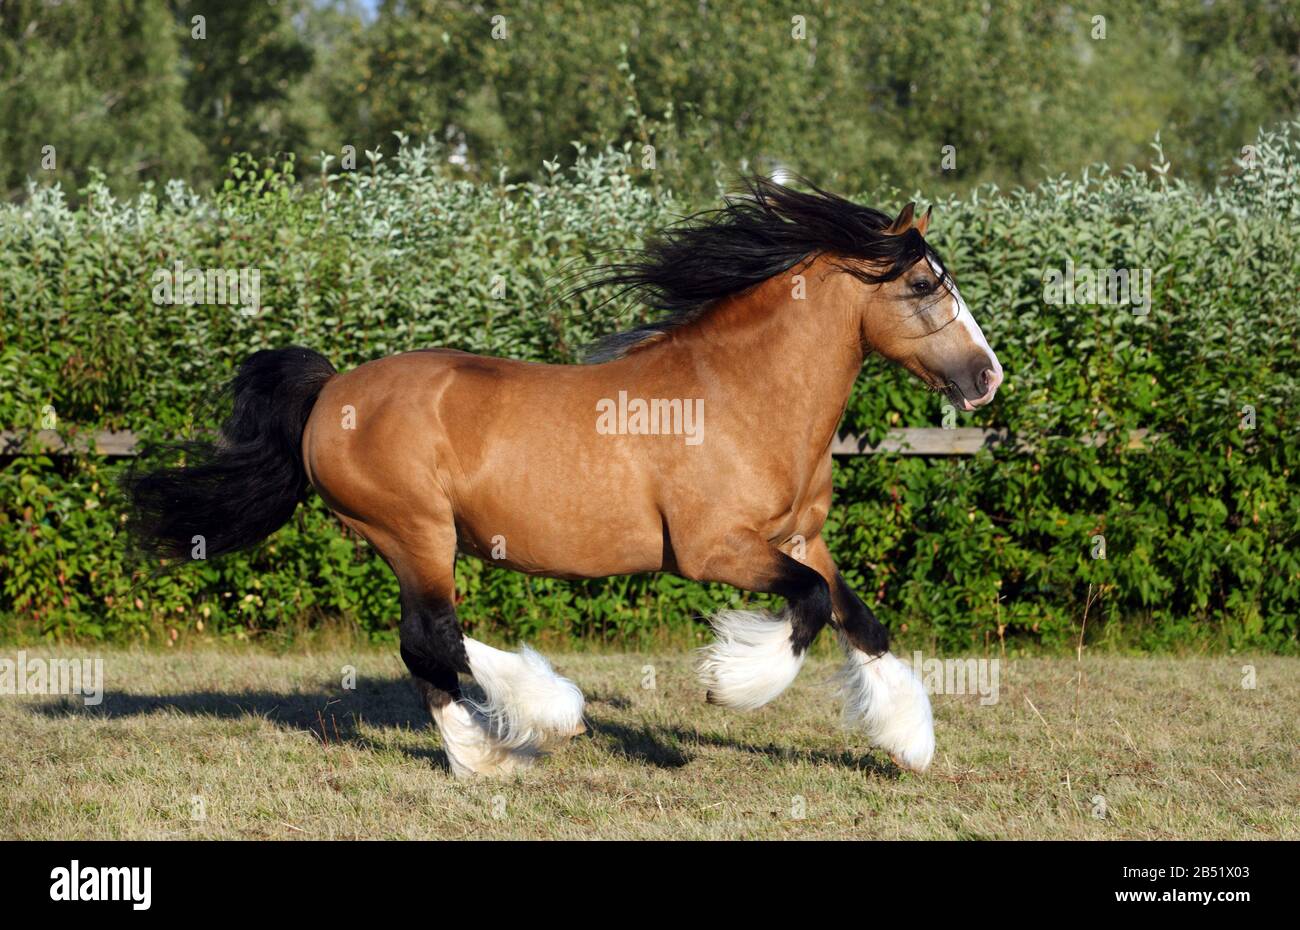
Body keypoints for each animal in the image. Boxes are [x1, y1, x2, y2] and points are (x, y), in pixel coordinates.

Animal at [126, 178, 1003, 778]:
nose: (987, 378)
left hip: (413, 540)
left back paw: (483, 758)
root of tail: (332, 392)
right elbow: (813, 608)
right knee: (433, 637)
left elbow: (860, 618)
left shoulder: (798, 538)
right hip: (414, 532)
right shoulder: (714, 551)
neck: (740, 393)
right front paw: (729, 684)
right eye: (923, 286)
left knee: (425, 651)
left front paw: (908, 742)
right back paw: (543, 719)